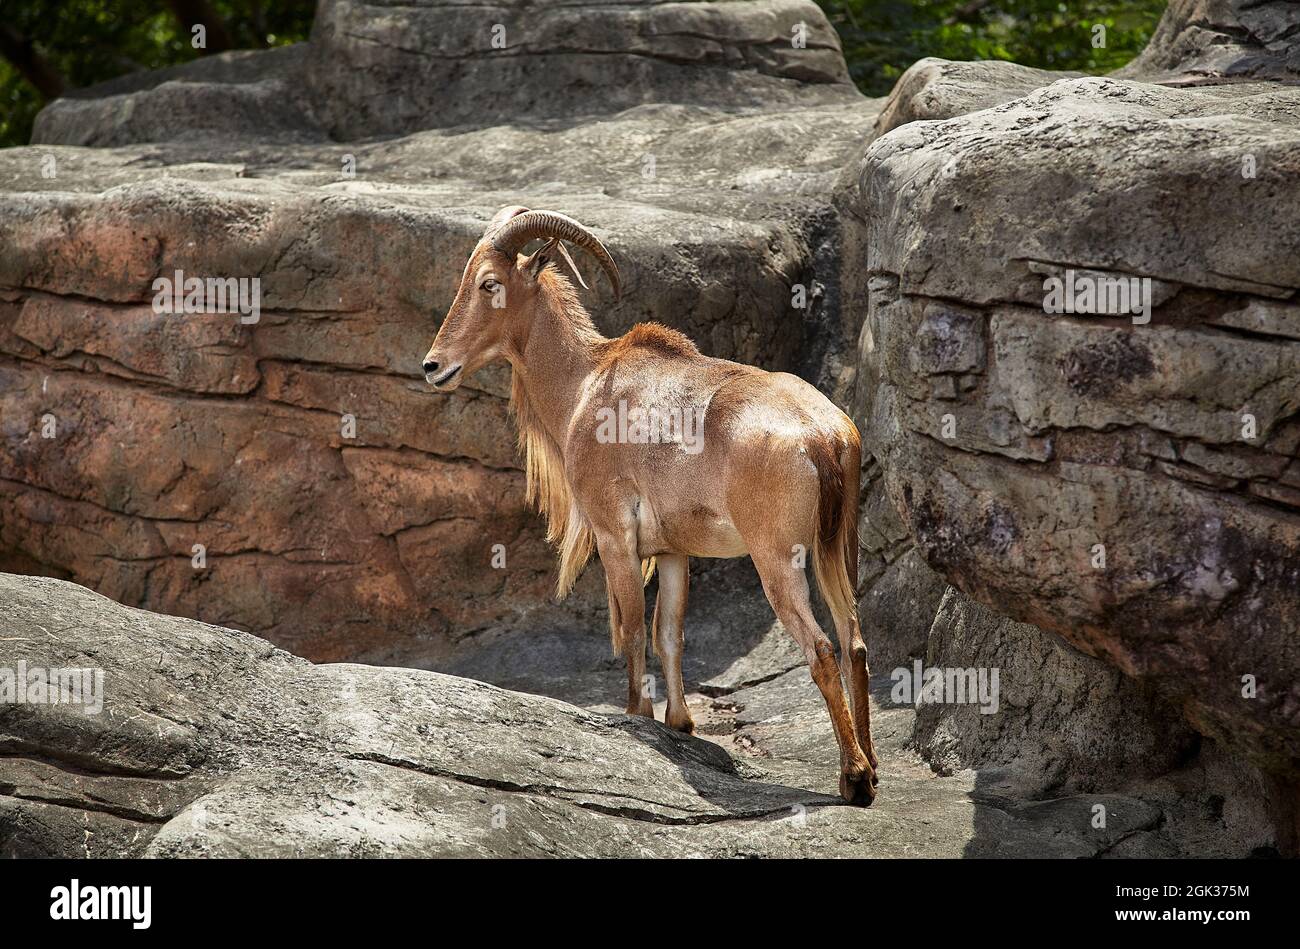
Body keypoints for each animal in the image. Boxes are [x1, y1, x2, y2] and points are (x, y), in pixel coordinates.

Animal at [422, 206, 878, 804]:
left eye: (489, 284)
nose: (433, 366)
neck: (585, 383)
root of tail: (824, 436)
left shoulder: (615, 537)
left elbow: (634, 627)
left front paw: (637, 714)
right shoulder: (673, 551)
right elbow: (670, 631)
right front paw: (679, 723)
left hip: (779, 558)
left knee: (822, 648)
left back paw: (854, 778)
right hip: (836, 549)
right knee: (854, 643)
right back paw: (873, 765)